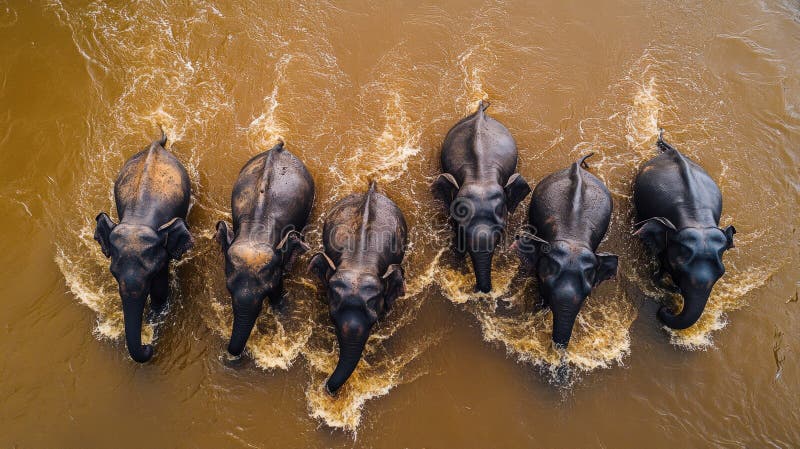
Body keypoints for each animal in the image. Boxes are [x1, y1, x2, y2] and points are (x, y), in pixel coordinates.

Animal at [93, 131, 194, 363]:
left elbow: (161, 287)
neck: (138, 218)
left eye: (151, 273)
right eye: (113, 274)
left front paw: (155, 314)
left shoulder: (163, 254)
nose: (148, 347)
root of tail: (156, 145)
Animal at [215, 141, 315, 358]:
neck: (255, 230)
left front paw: (281, 312)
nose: (233, 354)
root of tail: (278, 147)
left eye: (266, 290)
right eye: (228, 288)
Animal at [633, 129, 736, 330]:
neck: (696, 221)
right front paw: (670, 286)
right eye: (678, 267)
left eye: (721, 273)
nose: (666, 309)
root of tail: (674, 152)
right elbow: (658, 271)